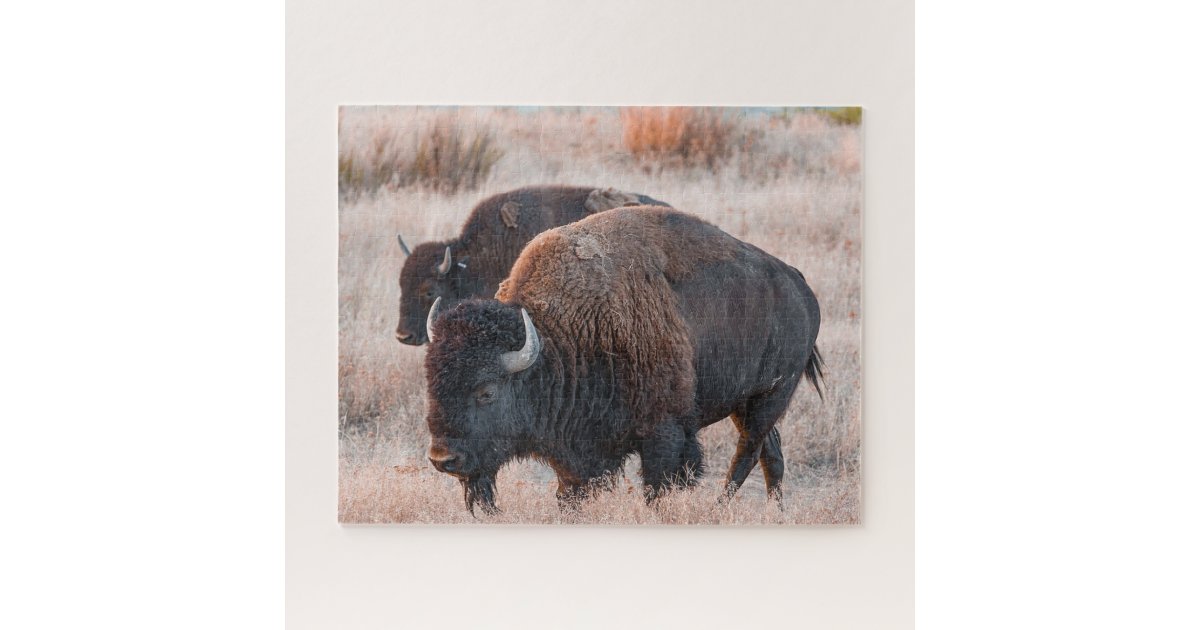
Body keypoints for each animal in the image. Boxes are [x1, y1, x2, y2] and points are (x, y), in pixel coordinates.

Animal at [423, 206, 823, 514]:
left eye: (487, 392)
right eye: (431, 385)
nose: (443, 459)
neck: (561, 336)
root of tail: (800, 285)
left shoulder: (664, 434)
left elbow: (658, 489)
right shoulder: (575, 453)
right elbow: (569, 493)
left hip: (770, 396)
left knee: (748, 452)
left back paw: (720, 507)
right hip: (746, 403)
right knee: (771, 452)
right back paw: (776, 512)